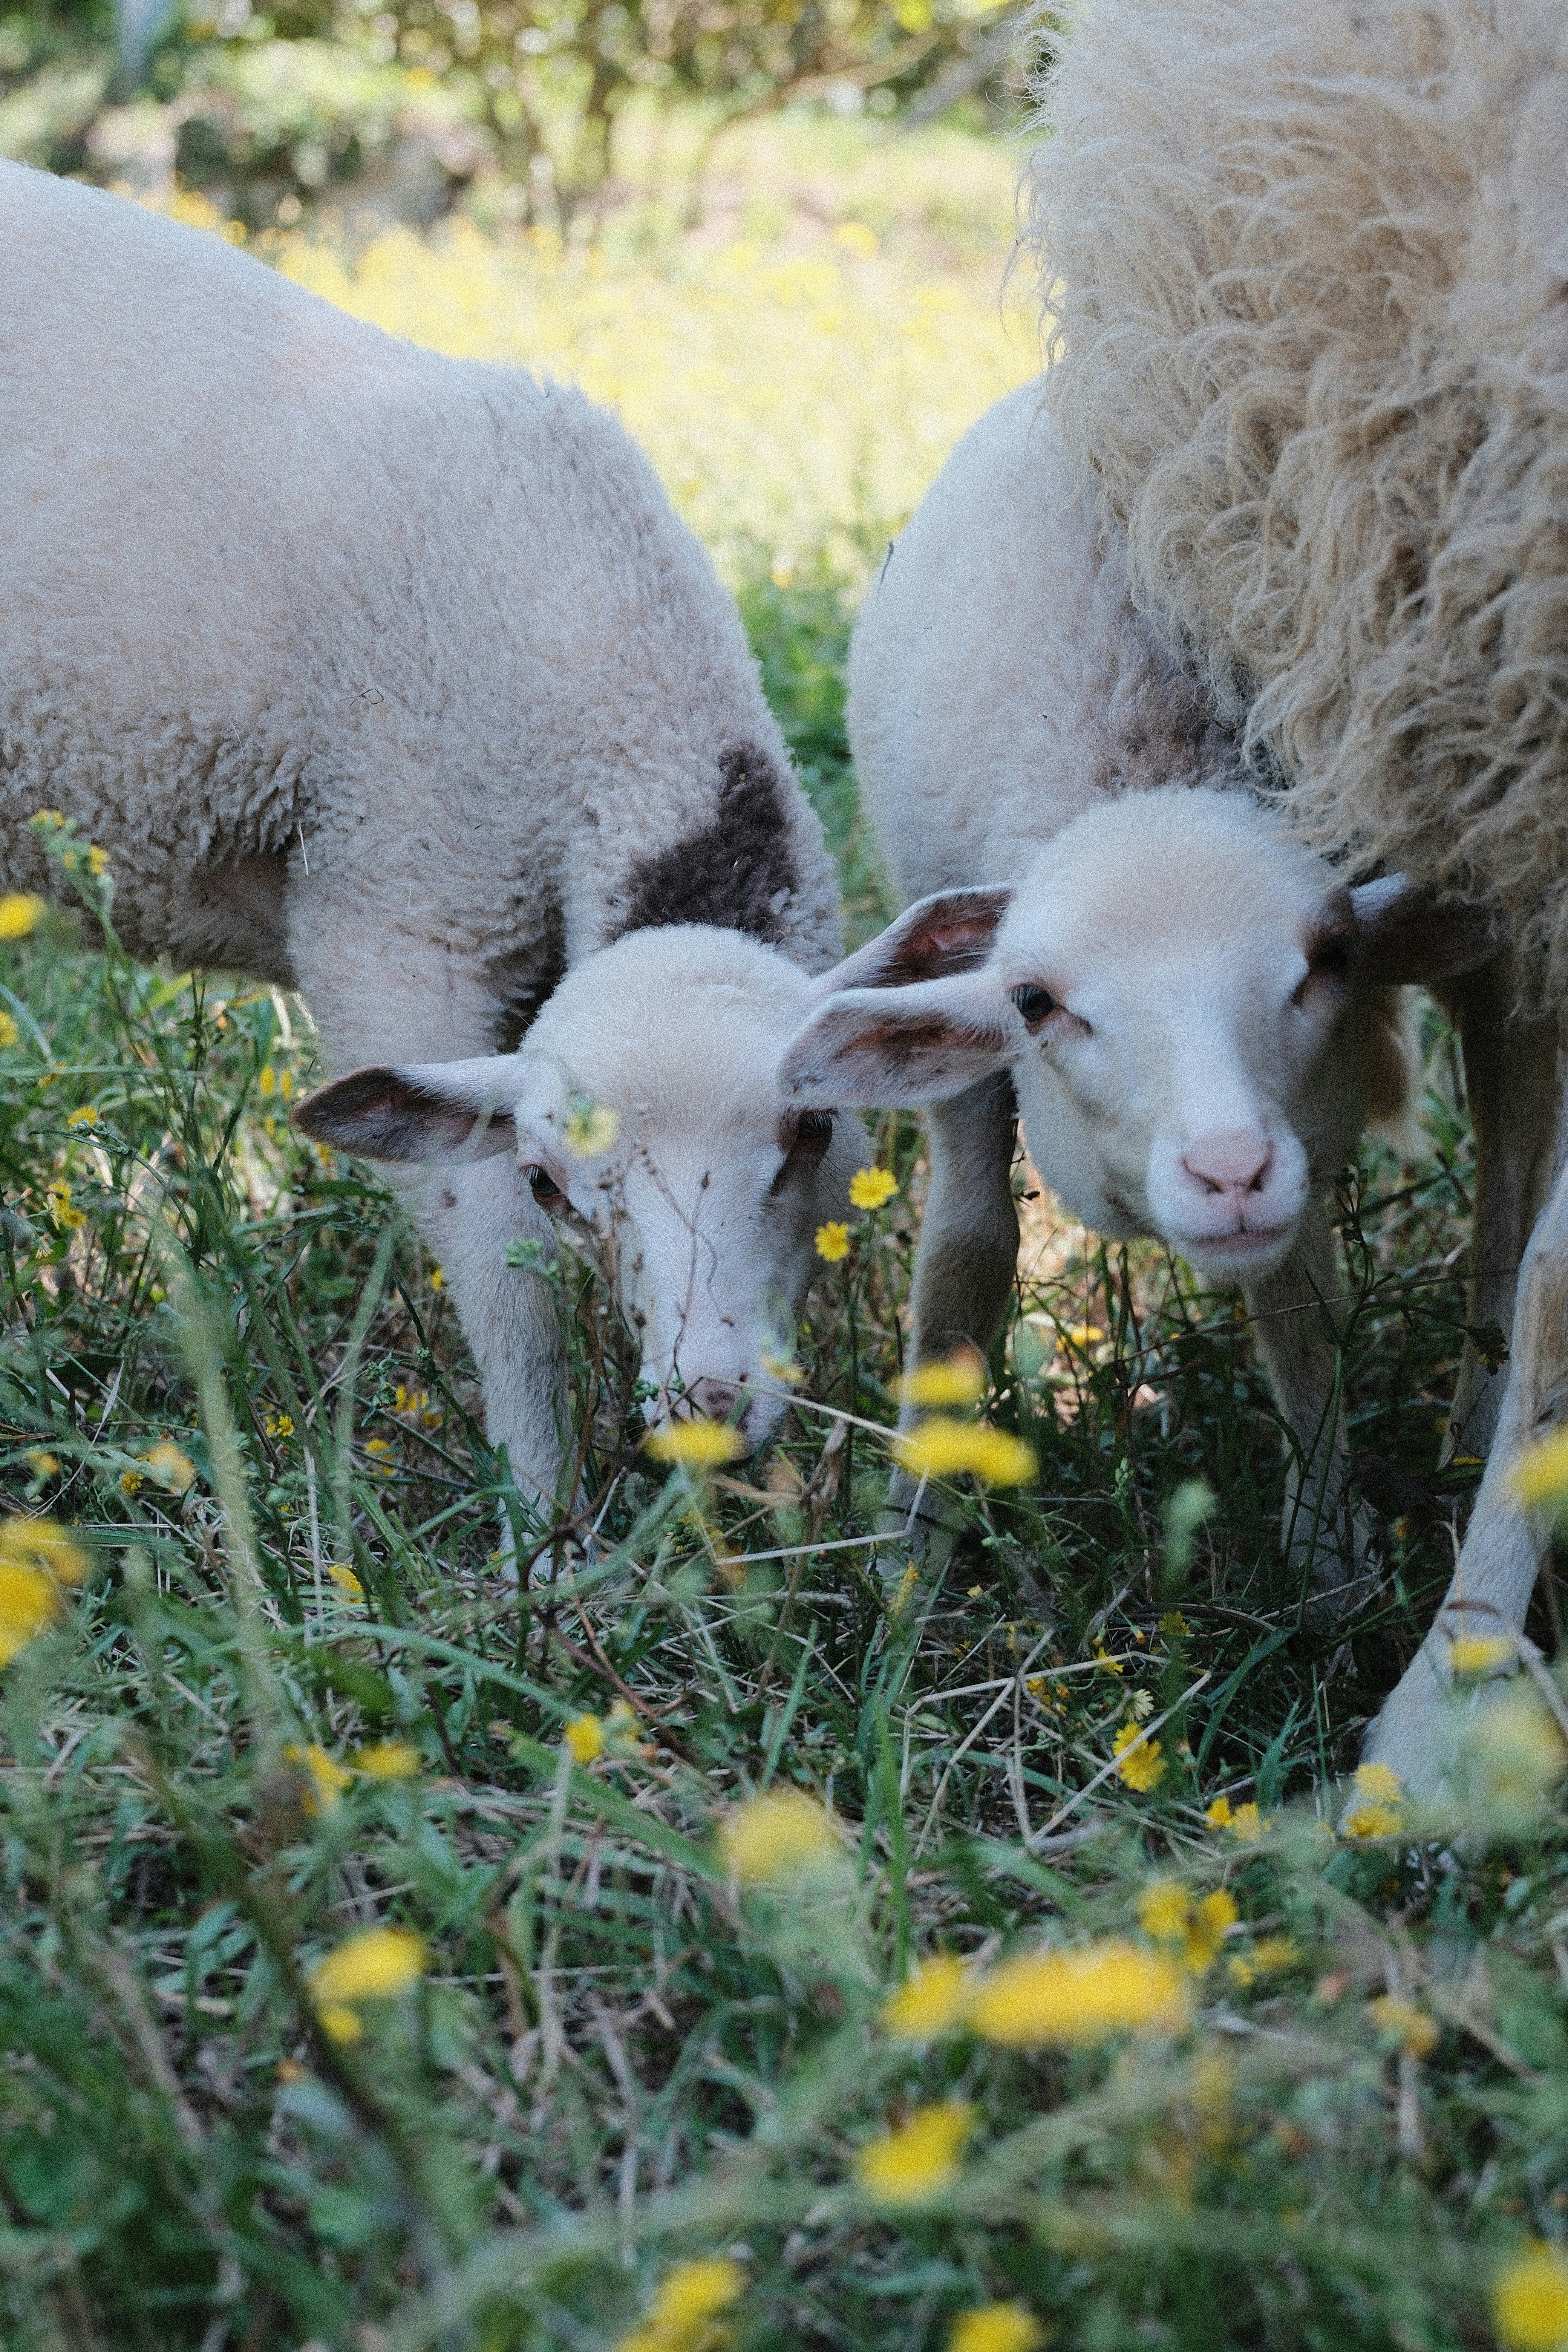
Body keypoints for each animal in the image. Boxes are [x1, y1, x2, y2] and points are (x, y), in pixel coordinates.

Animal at [0, 159, 864, 1514]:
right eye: (560, 1185)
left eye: (813, 1132)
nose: (709, 1413)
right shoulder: (403, 924)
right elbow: (497, 1262)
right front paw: (544, 1526)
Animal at [781, 383, 1495, 1599]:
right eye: (1030, 1000)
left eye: (1331, 956)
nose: (1229, 1170)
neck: (1134, 763)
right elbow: (963, 1259)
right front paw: (909, 1551)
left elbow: (1298, 1304)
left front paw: (1330, 1561)